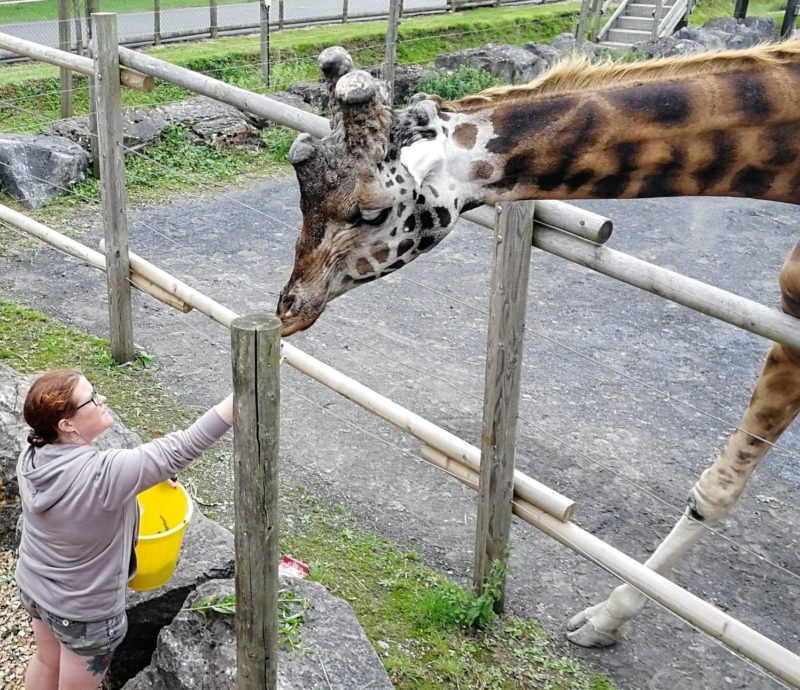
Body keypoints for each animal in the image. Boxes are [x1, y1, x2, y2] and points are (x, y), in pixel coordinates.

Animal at [276, 41, 800, 647]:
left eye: (373, 210)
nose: (288, 309)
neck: (788, 163)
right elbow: (715, 490)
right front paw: (602, 620)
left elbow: (715, 489)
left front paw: (601, 620)